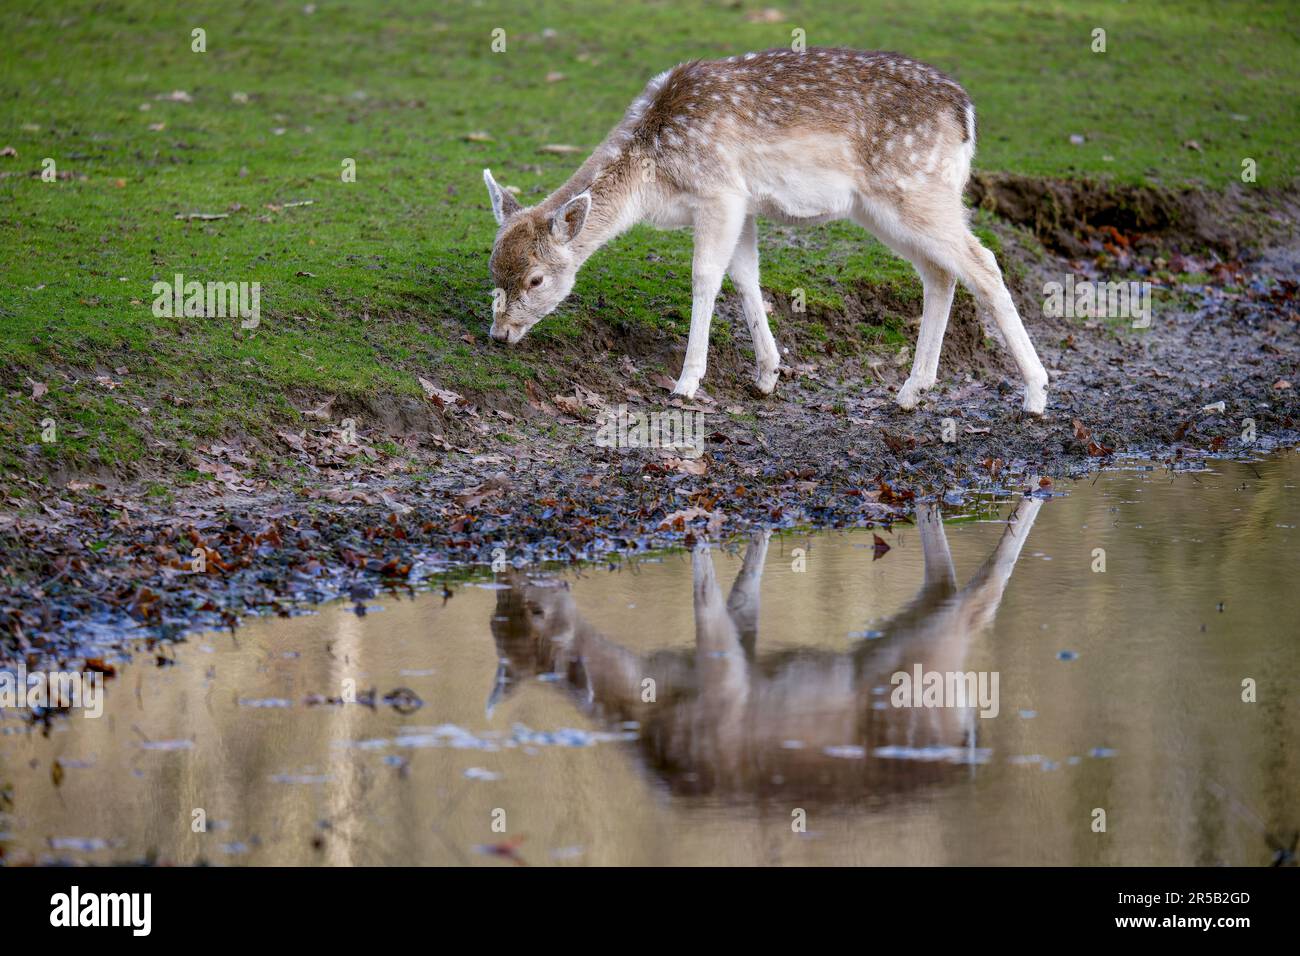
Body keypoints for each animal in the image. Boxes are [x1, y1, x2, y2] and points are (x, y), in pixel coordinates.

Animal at [483, 47, 1048, 413]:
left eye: (535, 278)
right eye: (494, 269)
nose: (499, 334)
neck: (653, 175)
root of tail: (966, 113)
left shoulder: (720, 193)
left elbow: (705, 276)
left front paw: (686, 384)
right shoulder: (745, 205)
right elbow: (746, 276)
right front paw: (767, 376)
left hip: (918, 189)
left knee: (983, 263)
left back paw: (1036, 395)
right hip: (885, 207)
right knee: (941, 273)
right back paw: (911, 392)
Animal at [487, 498, 1043, 803]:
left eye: (535, 613)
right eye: (495, 619)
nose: (508, 573)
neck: (657, 689)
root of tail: (967, 747)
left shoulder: (725, 676)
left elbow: (705, 597)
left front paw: (699, 527)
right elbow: (743, 598)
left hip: (927, 657)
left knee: (979, 600)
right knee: (944, 581)